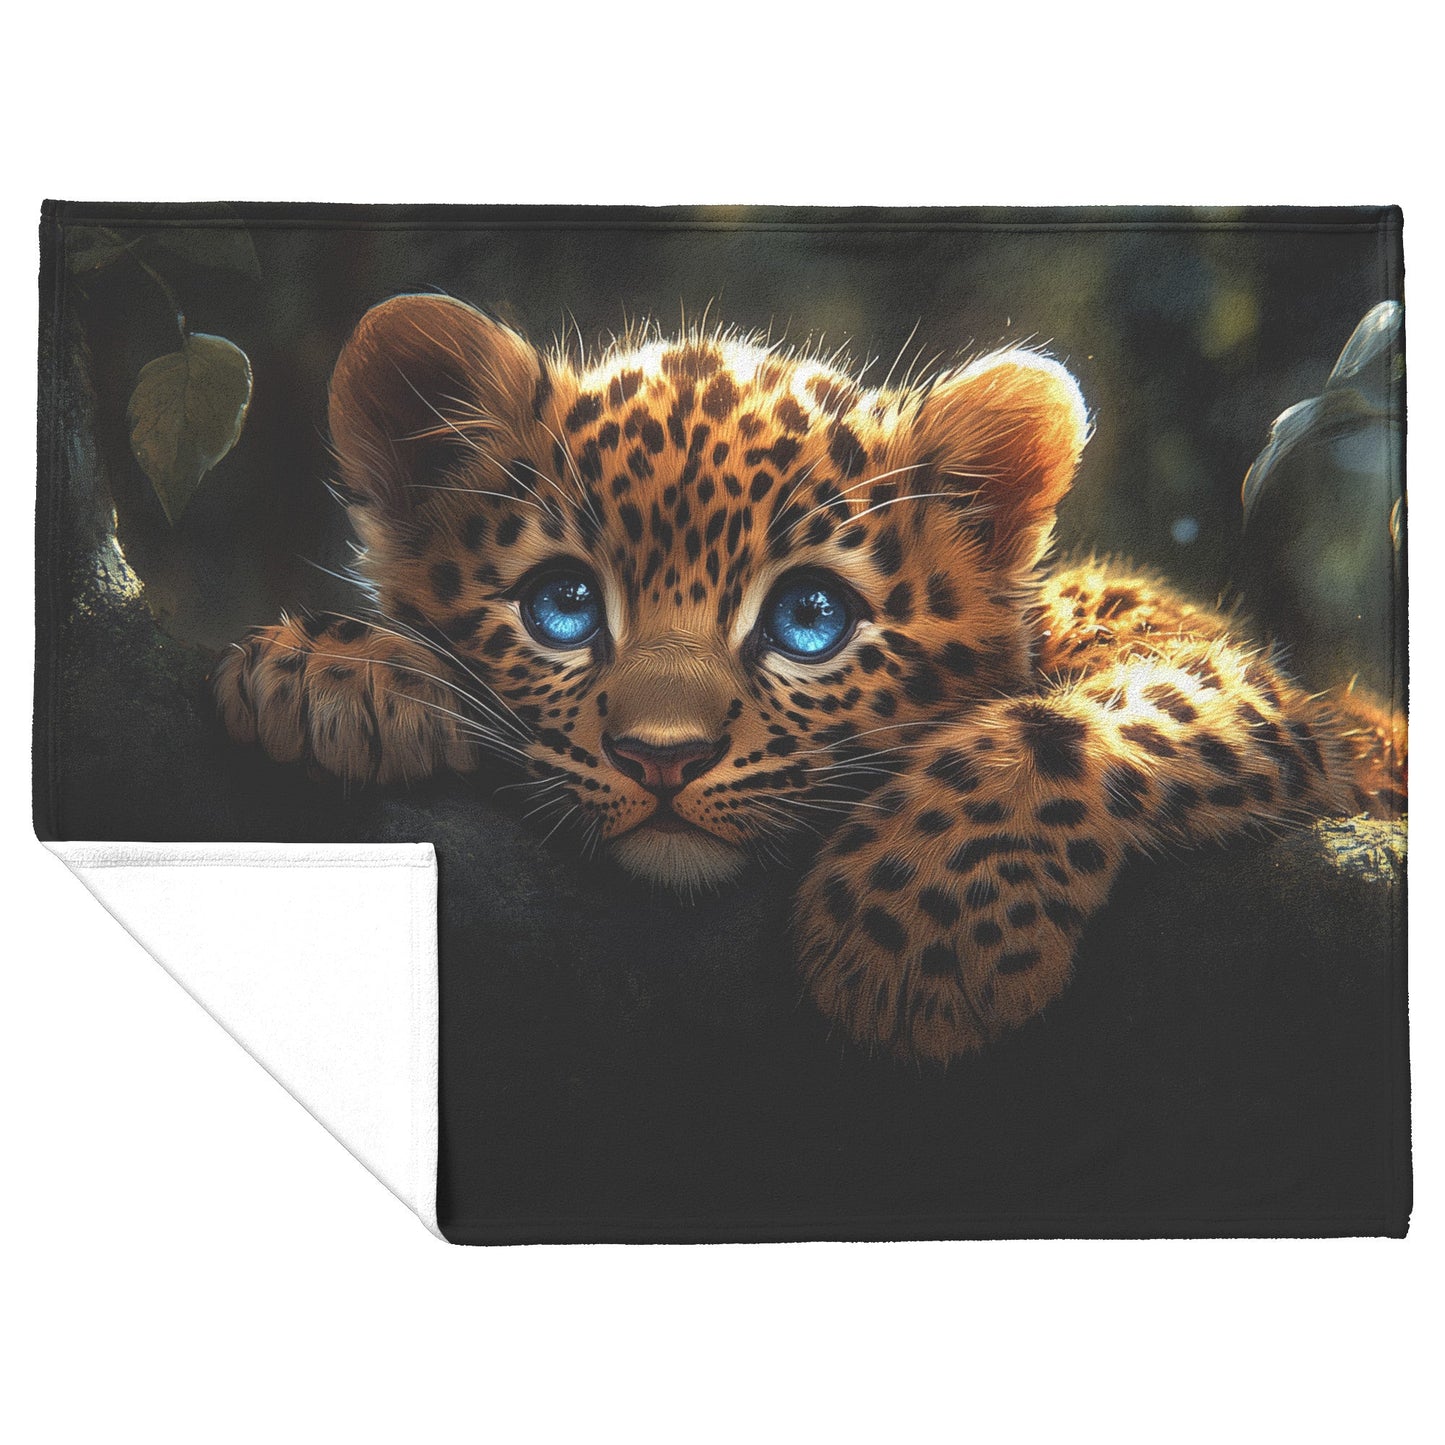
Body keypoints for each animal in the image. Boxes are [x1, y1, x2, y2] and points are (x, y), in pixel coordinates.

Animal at [213, 293, 1406, 1064]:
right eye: (562, 603)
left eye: (809, 619)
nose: (663, 758)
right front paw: (337, 664)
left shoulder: (1276, 702)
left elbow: (1084, 716)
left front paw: (917, 933)